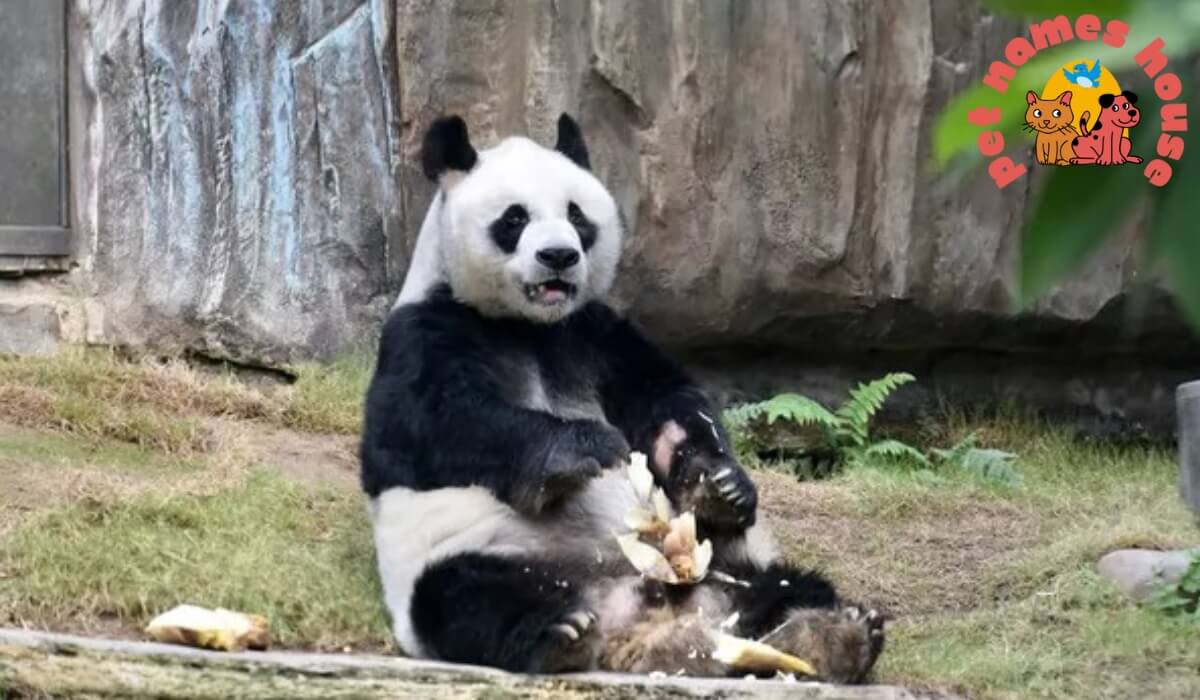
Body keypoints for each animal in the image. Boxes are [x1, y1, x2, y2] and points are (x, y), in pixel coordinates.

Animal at [360, 113, 884, 681]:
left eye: (576, 215)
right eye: (514, 218)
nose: (559, 256)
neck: (529, 327)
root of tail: (632, 625)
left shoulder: (597, 334)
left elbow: (668, 404)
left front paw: (720, 488)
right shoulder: (425, 330)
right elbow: (429, 424)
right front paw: (584, 447)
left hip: (729, 566)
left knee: (794, 585)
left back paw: (833, 635)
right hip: (481, 553)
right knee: (466, 599)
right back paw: (558, 633)